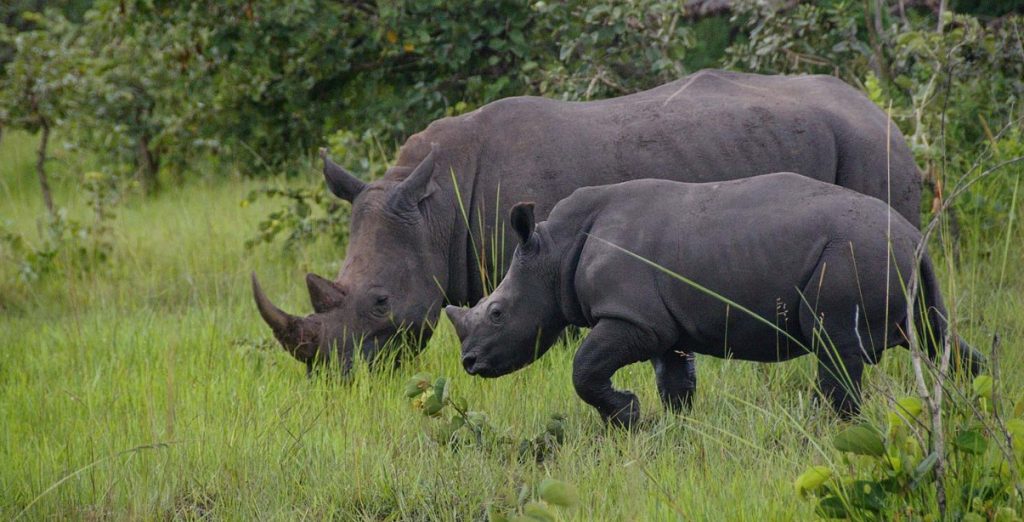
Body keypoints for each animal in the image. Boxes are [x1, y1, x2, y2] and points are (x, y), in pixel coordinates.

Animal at [445, 175, 984, 426]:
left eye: (497, 313)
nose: (469, 363)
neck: (553, 252)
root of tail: (914, 237)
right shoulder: (664, 327)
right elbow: (676, 383)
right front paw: (667, 429)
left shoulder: (632, 318)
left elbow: (585, 367)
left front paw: (627, 417)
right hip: (898, 264)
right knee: (938, 337)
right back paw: (975, 399)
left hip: (855, 254)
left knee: (835, 348)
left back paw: (820, 427)